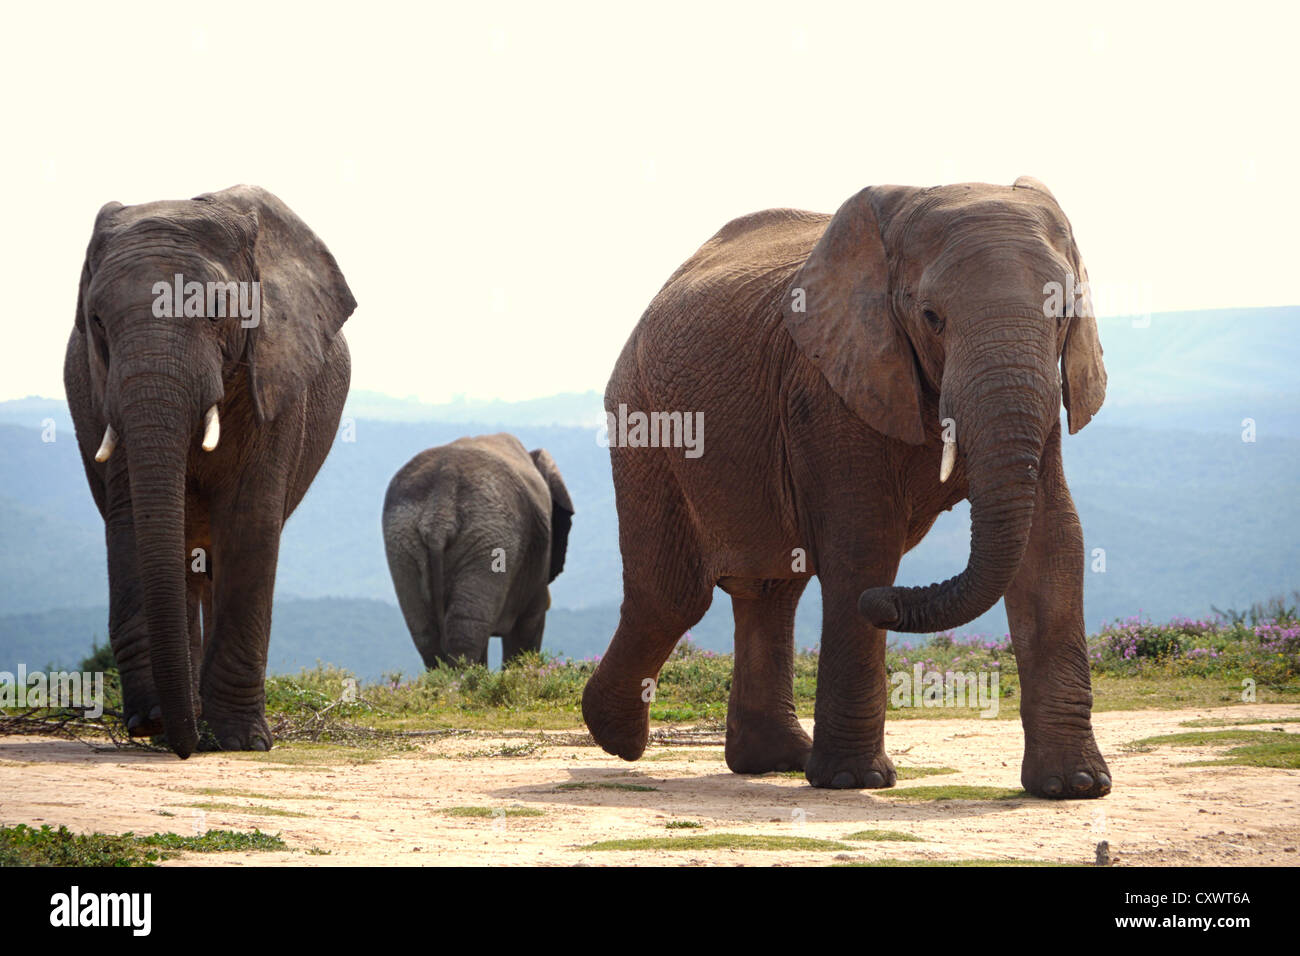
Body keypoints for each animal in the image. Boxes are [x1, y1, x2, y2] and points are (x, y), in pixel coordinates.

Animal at [63, 184, 356, 757]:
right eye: (97, 321)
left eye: (217, 311)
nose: (183, 747)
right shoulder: (102, 390)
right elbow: (130, 518)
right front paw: (153, 722)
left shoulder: (276, 376)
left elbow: (248, 522)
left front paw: (243, 740)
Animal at [382, 434, 574, 667]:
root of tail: (441, 504)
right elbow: (529, 624)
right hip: (491, 537)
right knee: (466, 631)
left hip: (402, 539)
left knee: (426, 634)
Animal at [581, 177, 1112, 798]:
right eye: (931, 317)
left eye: (1063, 313)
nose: (884, 605)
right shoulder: (830, 384)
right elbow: (864, 544)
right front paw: (853, 780)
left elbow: (1052, 541)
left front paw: (1076, 786)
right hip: (642, 417)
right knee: (672, 594)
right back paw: (615, 736)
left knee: (771, 586)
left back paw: (771, 760)